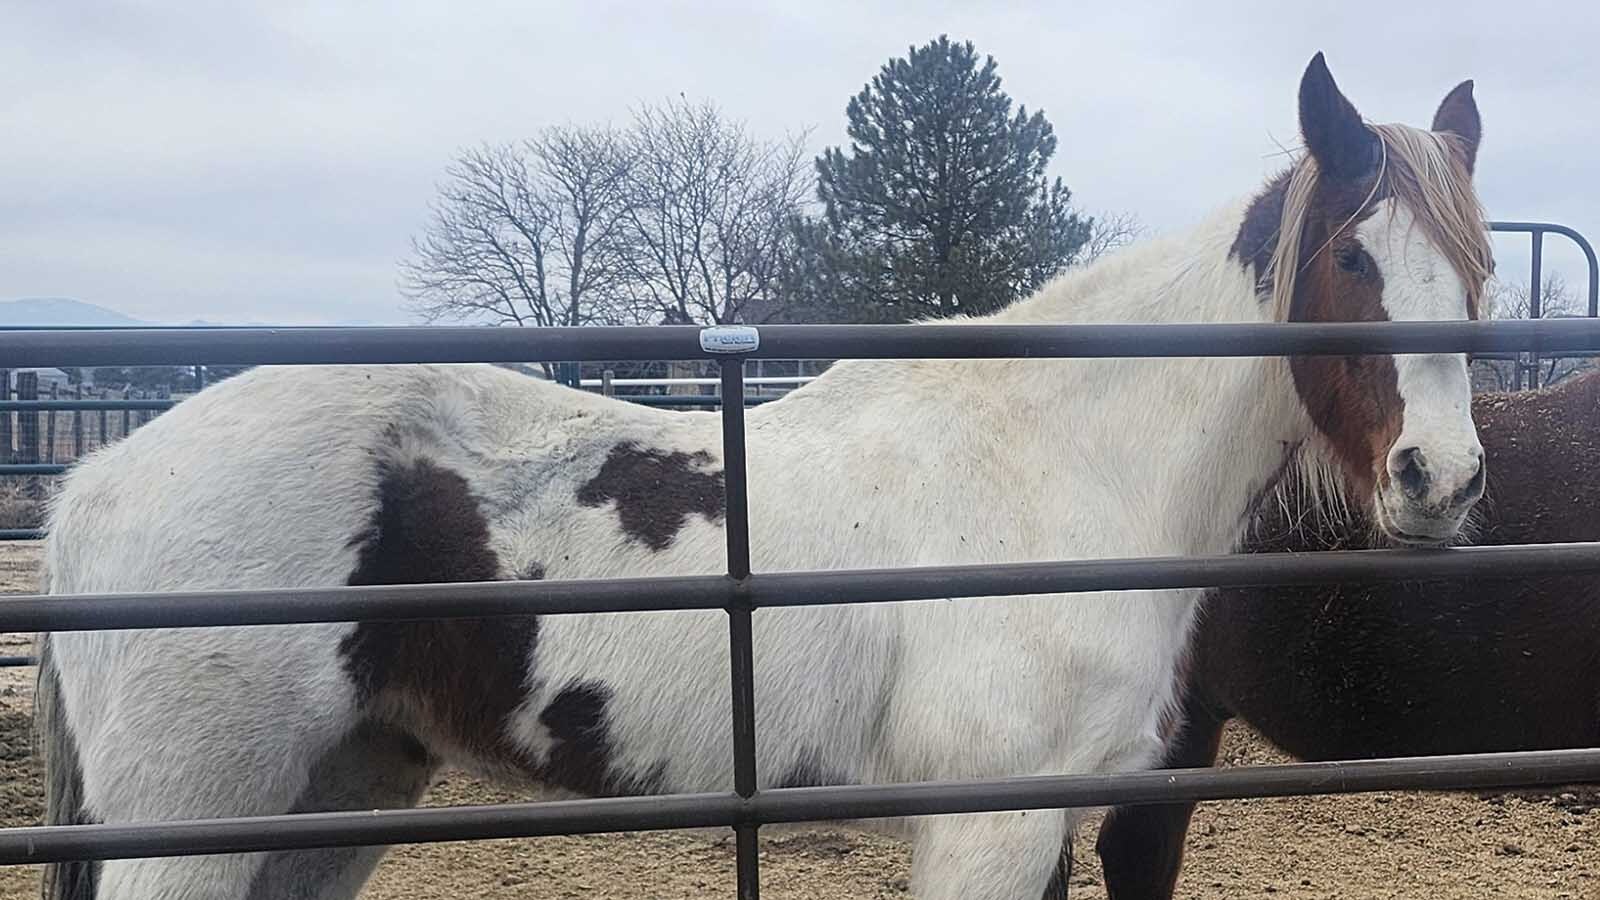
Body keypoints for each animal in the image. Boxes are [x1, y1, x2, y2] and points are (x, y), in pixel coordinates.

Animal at [34, 53, 1493, 900]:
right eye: (1350, 260)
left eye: (1476, 272)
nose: (1441, 480)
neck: (1055, 460)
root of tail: (91, 487)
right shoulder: (988, 824)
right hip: (194, 823)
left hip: (331, 799)